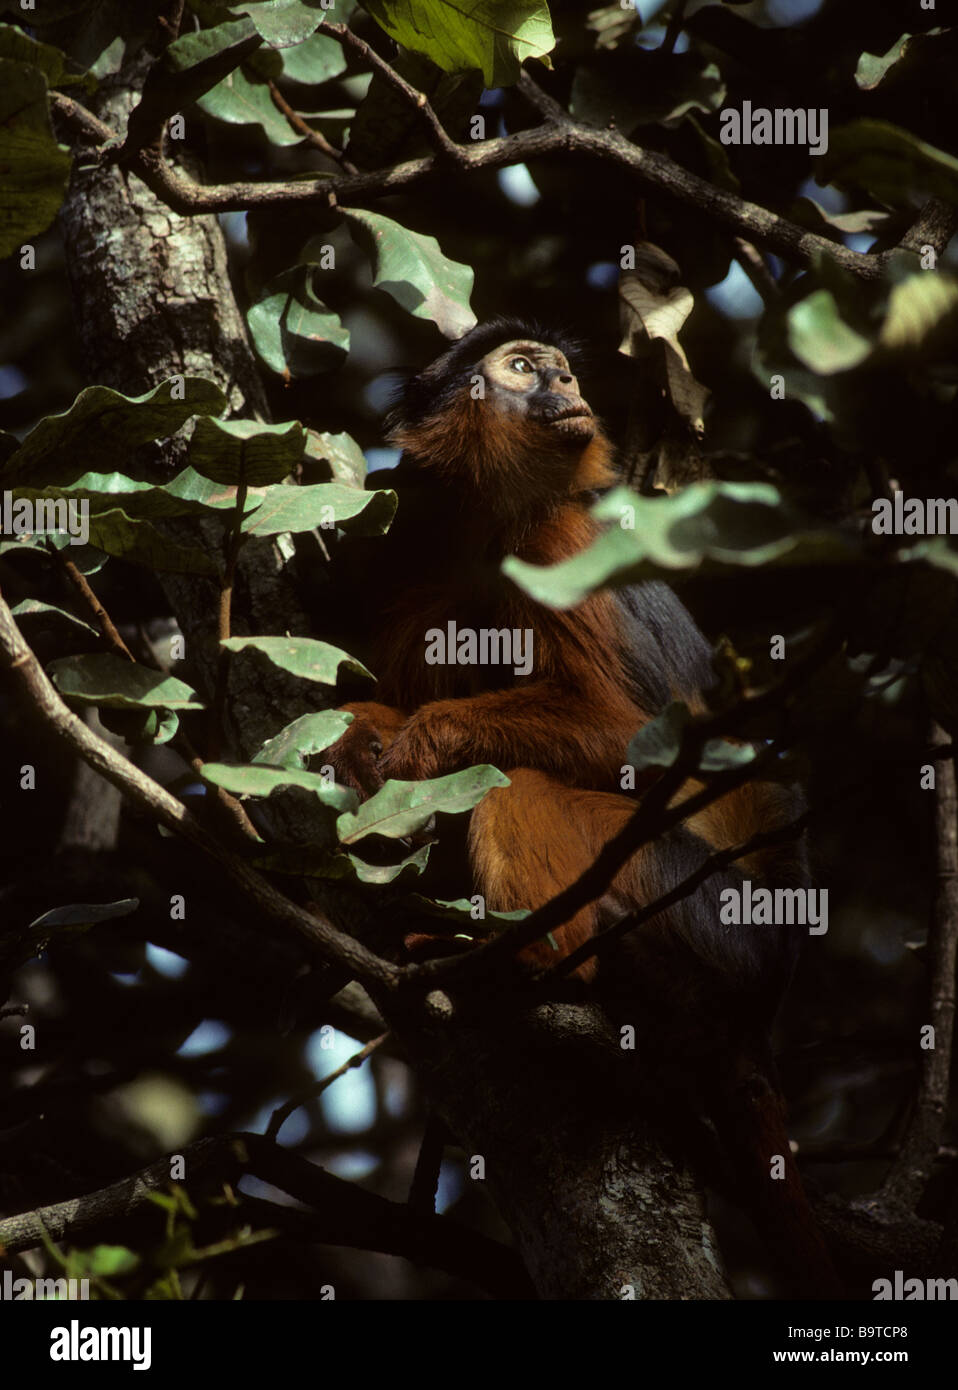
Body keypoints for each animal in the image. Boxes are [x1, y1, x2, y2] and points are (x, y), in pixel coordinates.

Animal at [321, 318, 841, 1297]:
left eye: (556, 369)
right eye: (524, 369)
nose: (562, 381)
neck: (497, 524)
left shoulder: (564, 541)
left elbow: (631, 737)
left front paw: (414, 740)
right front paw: (366, 737)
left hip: (701, 913)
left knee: (521, 786)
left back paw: (530, 963)